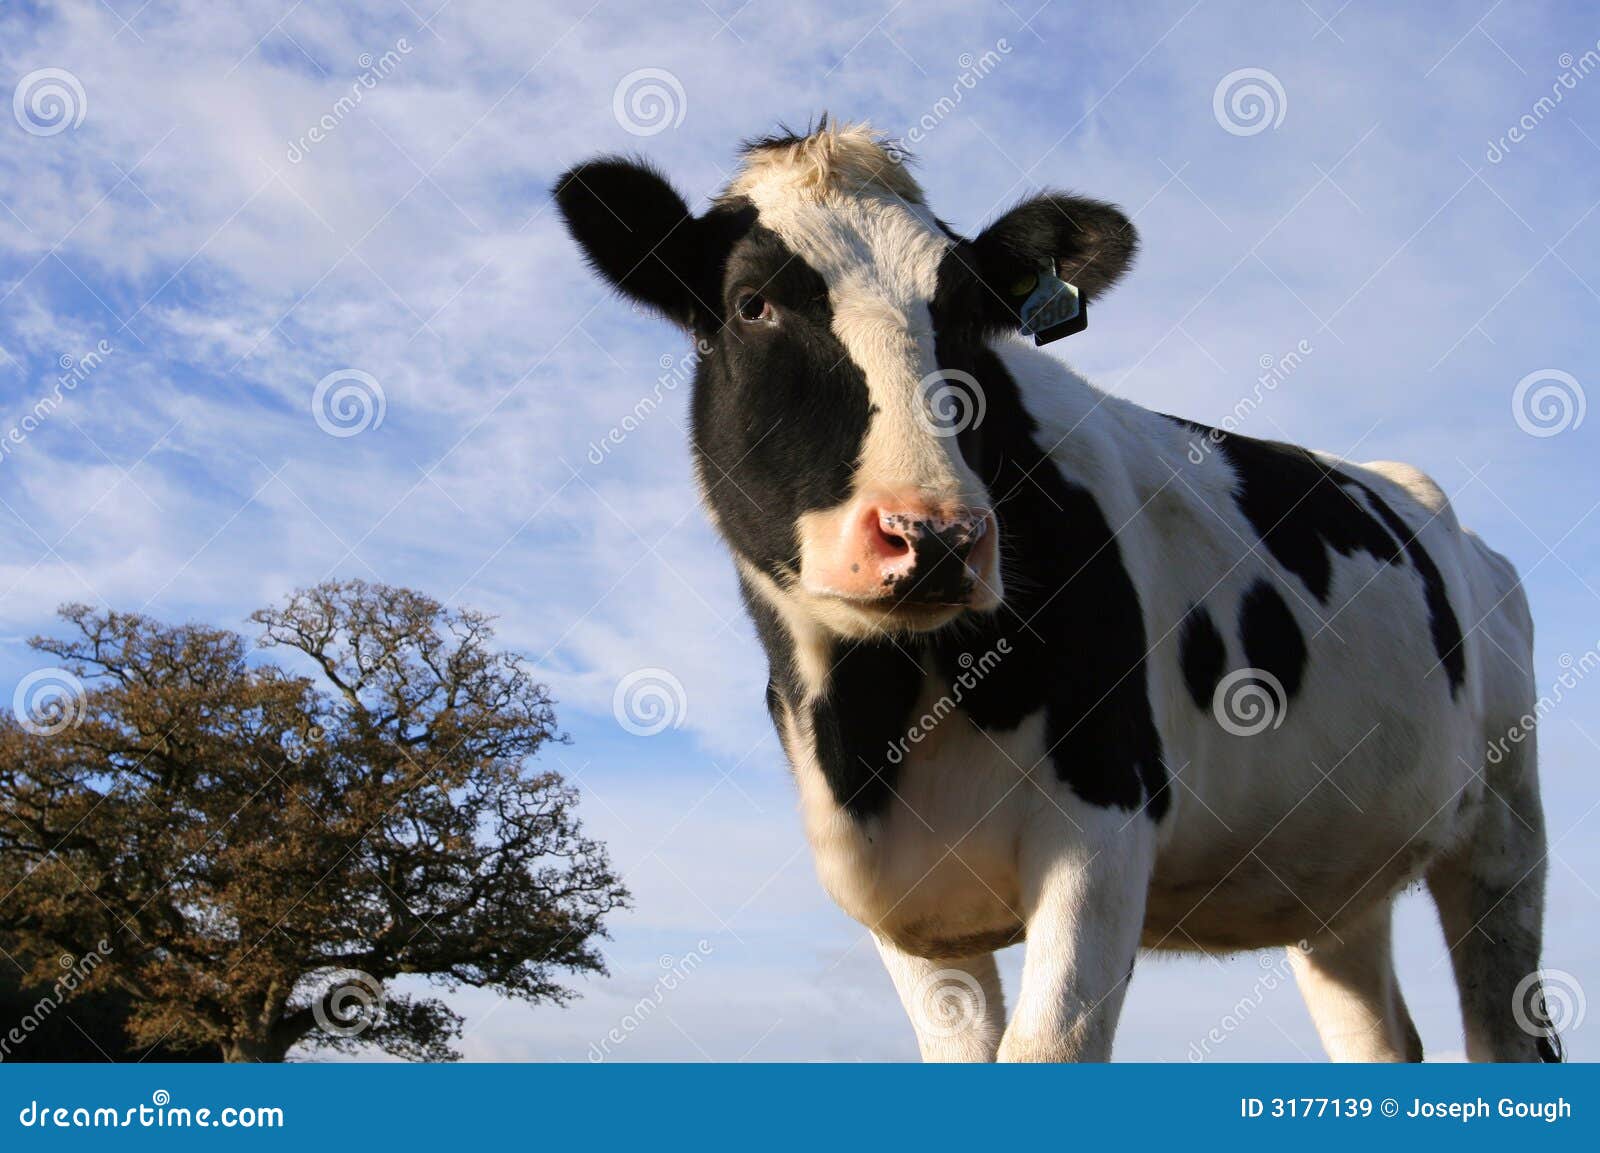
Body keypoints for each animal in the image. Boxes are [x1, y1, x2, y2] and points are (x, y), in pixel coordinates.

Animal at [554, 121, 1559, 1063]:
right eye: (750, 304)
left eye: (969, 319)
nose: (936, 536)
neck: (876, 728)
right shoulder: (909, 905)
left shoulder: (1105, 821)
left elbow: (1047, 1046)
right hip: (1332, 879)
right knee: (1378, 1034)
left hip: (1506, 829)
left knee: (1508, 1025)